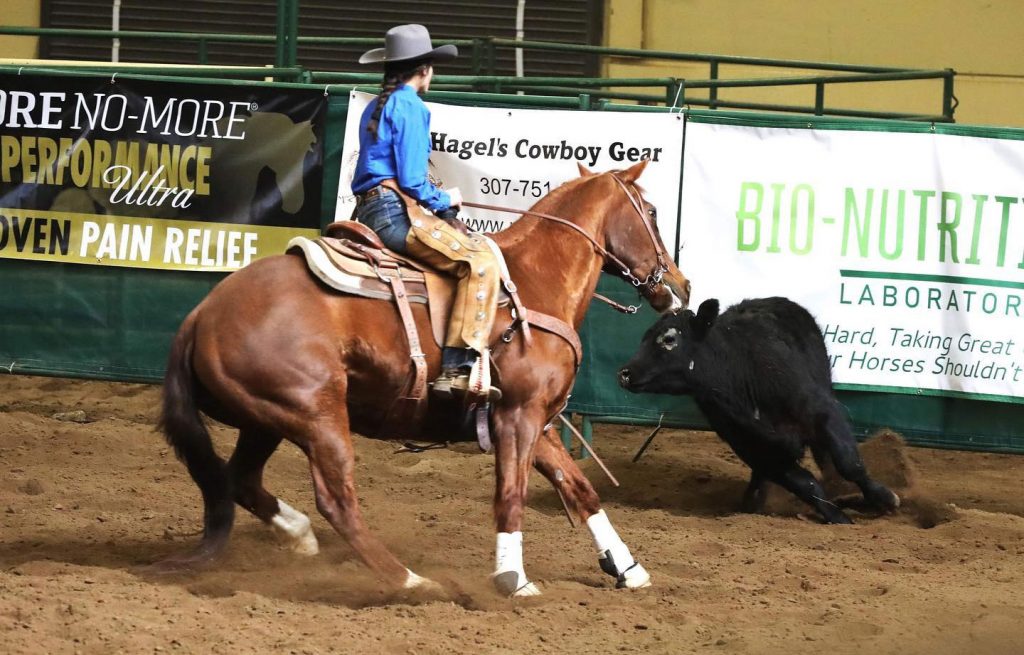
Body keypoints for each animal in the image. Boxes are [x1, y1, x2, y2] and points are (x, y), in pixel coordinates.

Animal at [157, 159, 691, 597]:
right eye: (652, 212)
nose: (681, 286)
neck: (535, 282)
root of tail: (203, 312)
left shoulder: (537, 422)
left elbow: (581, 489)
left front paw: (628, 569)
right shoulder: (518, 417)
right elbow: (510, 495)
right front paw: (513, 579)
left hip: (265, 418)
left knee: (242, 480)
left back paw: (300, 536)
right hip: (316, 414)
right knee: (337, 500)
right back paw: (411, 581)